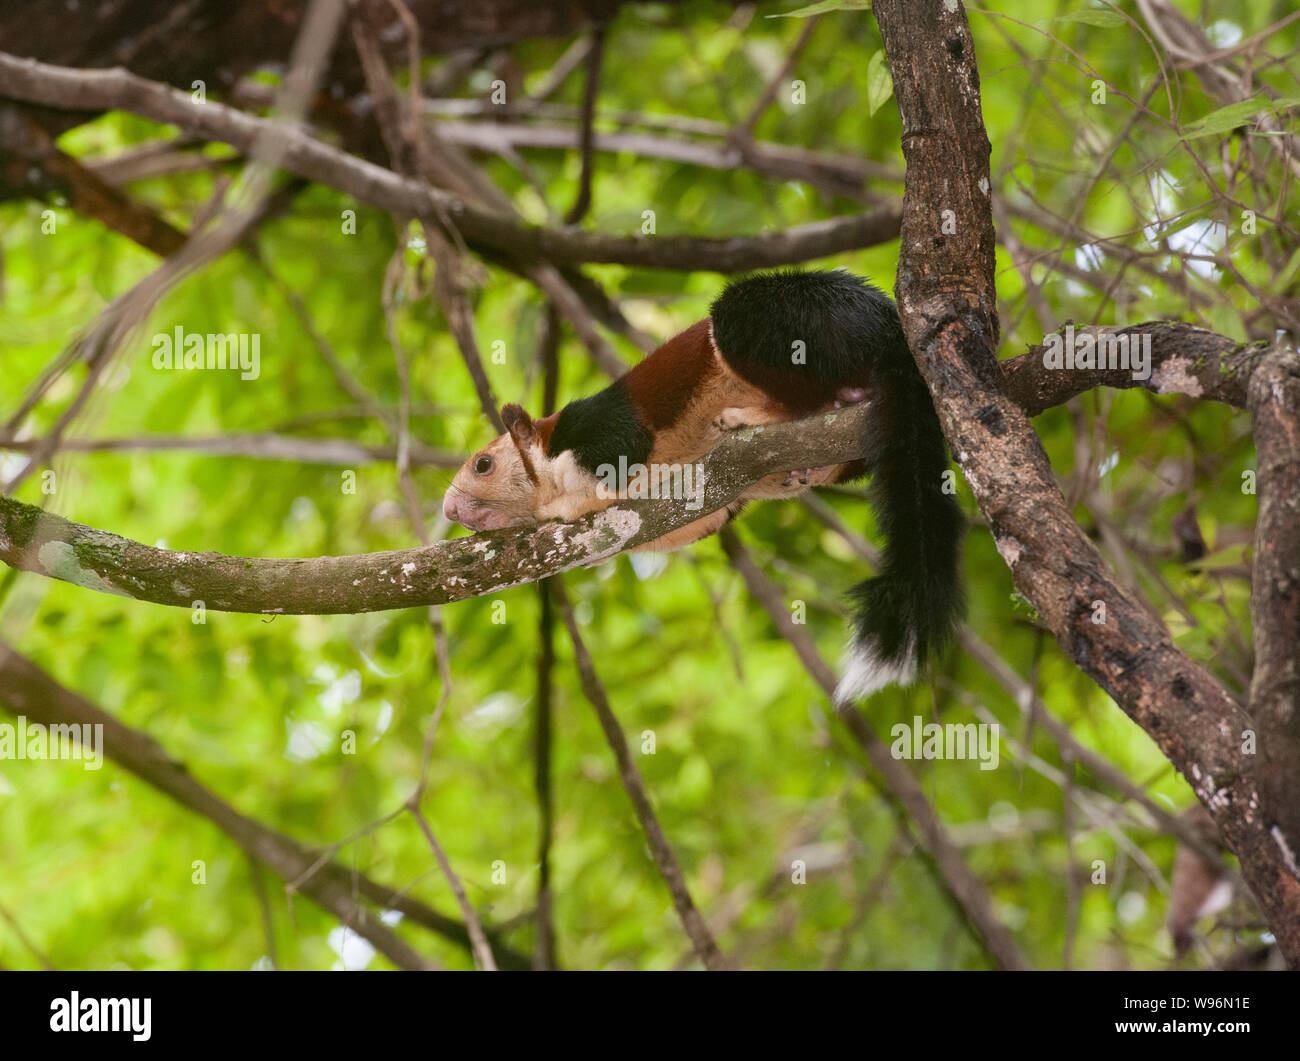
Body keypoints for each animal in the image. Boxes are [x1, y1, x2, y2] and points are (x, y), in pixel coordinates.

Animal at [442, 269, 964, 701]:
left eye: (483, 465)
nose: (449, 510)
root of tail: (890, 327)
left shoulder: (598, 425)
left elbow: (609, 466)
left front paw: (565, 506)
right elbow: (699, 519)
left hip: (789, 325)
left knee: (804, 390)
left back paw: (755, 416)